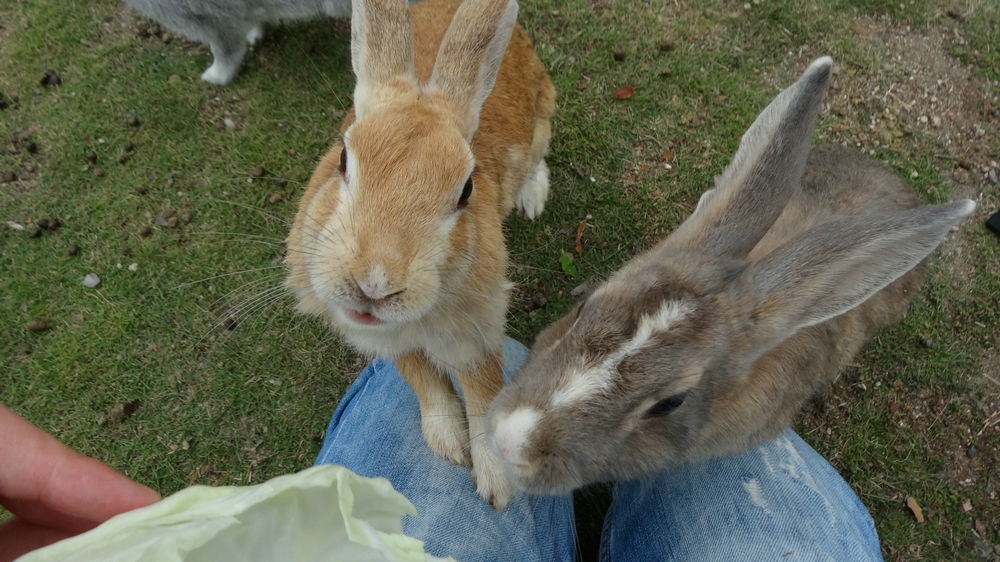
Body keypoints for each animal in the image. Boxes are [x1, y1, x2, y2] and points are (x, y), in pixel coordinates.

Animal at [288, 0, 556, 508]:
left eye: (466, 190)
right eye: (343, 159)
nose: (374, 282)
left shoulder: (476, 330)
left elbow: (483, 391)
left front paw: (496, 485)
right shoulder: (388, 341)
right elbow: (420, 377)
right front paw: (447, 444)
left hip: (542, 120)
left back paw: (531, 196)